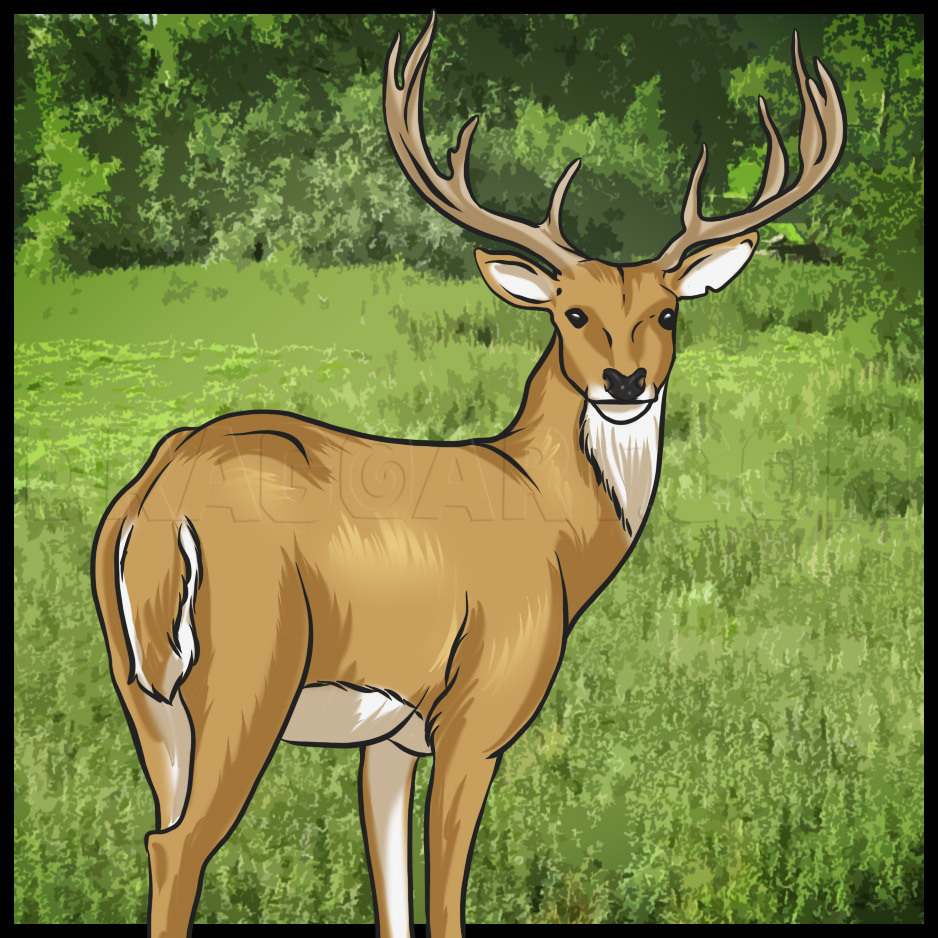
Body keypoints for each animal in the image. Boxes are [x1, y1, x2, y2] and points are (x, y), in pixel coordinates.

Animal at [91, 13, 845, 937]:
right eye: (573, 313)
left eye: (667, 314)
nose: (625, 382)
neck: (553, 523)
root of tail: (154, 499)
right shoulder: (480, 707)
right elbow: (446, 891)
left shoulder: (389, 736)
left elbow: (392, 891)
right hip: (248, 673)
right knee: (178, 846)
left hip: (144, 696)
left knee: (156, 828)